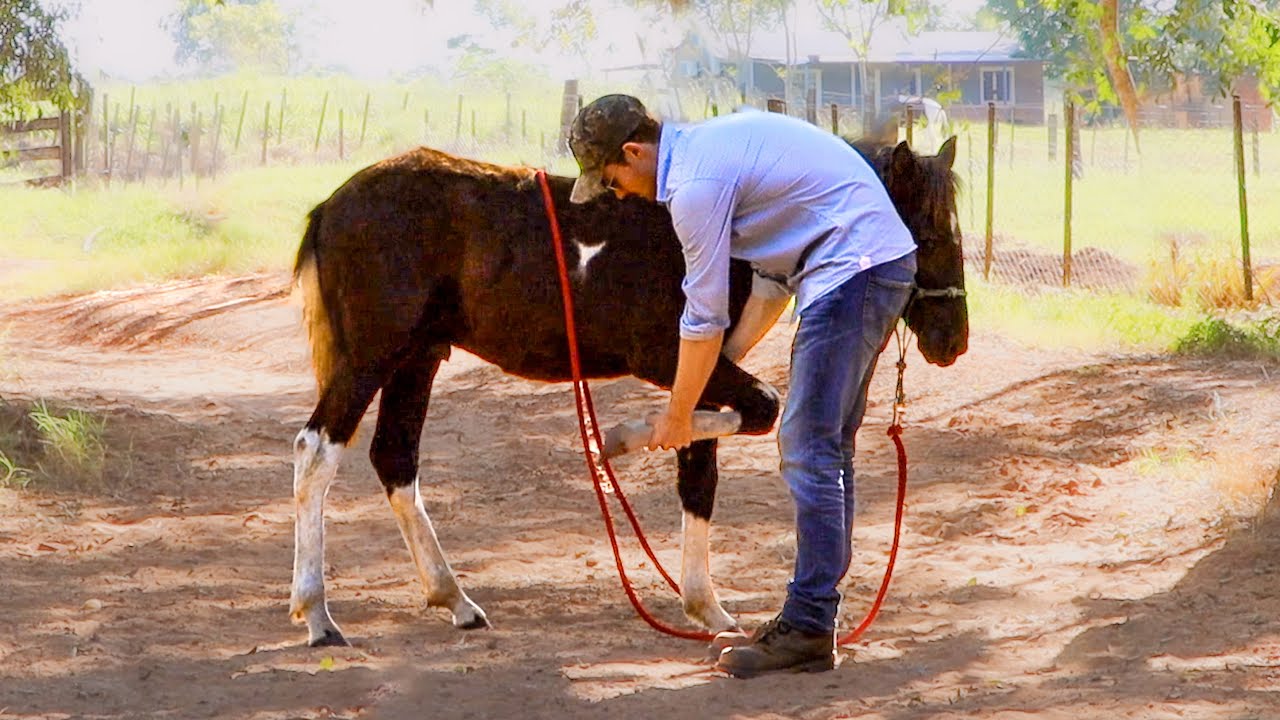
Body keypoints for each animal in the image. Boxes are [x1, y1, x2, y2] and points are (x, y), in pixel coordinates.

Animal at [287, 137, 966, 647]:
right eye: (929, 238)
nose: (952, 338)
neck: (744, 226)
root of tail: (332, 205)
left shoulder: (704, 369)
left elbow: (700, 472)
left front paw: (706, 608)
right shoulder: (671, 360)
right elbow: (759, 411)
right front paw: (619, 438)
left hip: (417, 358)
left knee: (395, 459)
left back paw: (453, 598)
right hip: (371, 357)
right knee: (316, 452)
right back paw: (318, 615)